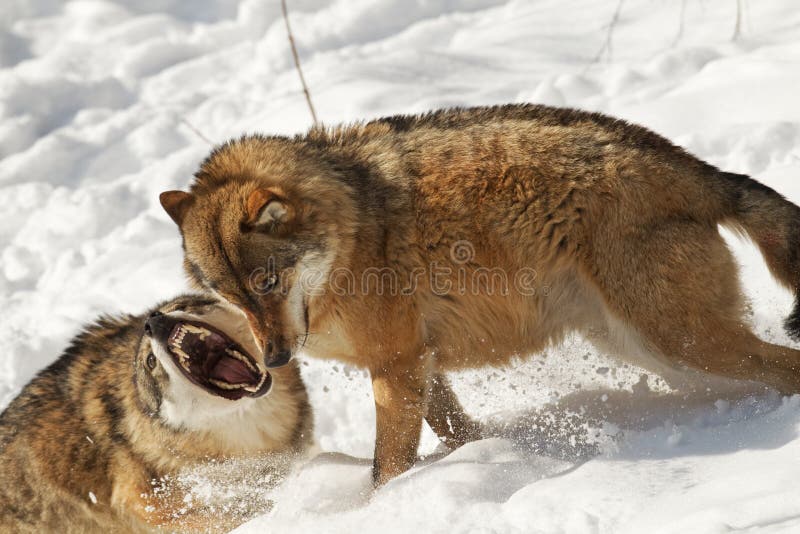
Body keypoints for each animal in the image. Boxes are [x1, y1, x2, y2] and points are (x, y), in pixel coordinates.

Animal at [159, 104, 800, 485]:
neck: (355, 228)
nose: (275, 359)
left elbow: (387, 465)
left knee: (783, 365)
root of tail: (698, 171)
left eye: (267, 283)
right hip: (648, 348)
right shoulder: (418, 362)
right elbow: (451, 430)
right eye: (230, 295)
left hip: (681, 340)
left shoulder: (397, 364)